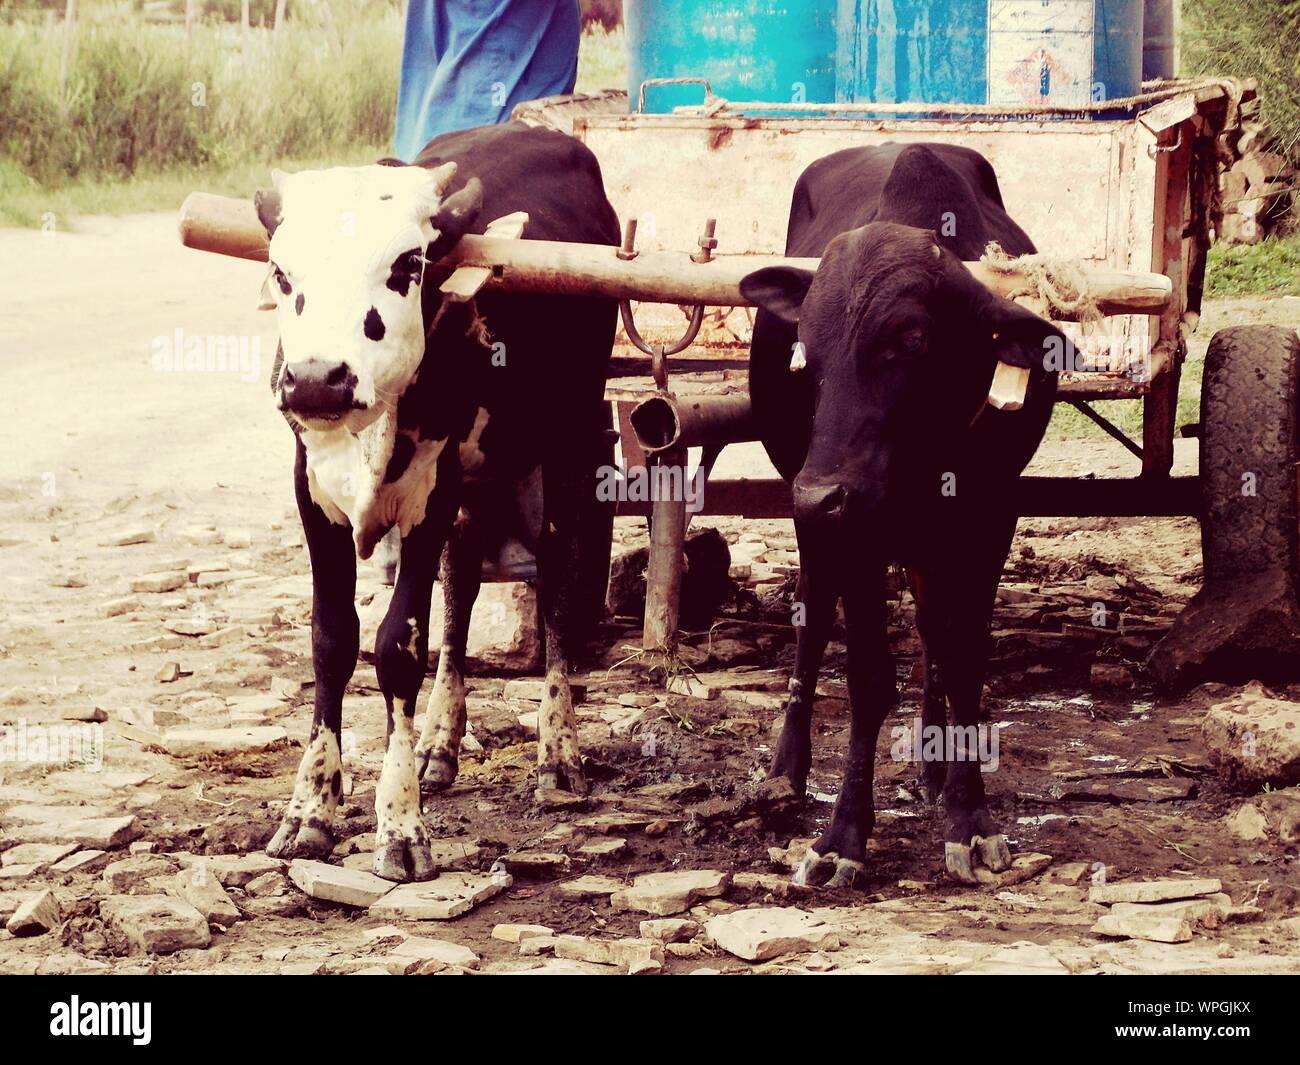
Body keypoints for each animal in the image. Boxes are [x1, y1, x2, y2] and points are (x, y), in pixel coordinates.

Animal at [255, 122, 619, 881]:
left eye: (407, 264)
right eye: (282, 272)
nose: (316, 379)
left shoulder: (432, 490)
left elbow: (398, 646)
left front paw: (400, 825)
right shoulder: (312, 492)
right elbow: (332, 640)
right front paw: (310, 809)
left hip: (567, 443)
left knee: (559, 580)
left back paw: (558, 752)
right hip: (478, 483)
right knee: (462, 587)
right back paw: (439, 741)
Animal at [739, 143, 1064, 887]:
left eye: (910, 340)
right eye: (804, 348)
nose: (818, 491)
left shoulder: (990, 520)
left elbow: (964, 657)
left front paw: (971, 819)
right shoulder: (855, 528)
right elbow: (866, 678)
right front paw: (843, 836)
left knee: (931, 630)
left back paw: (934, 767)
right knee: (813, 617)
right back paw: (785, 773)